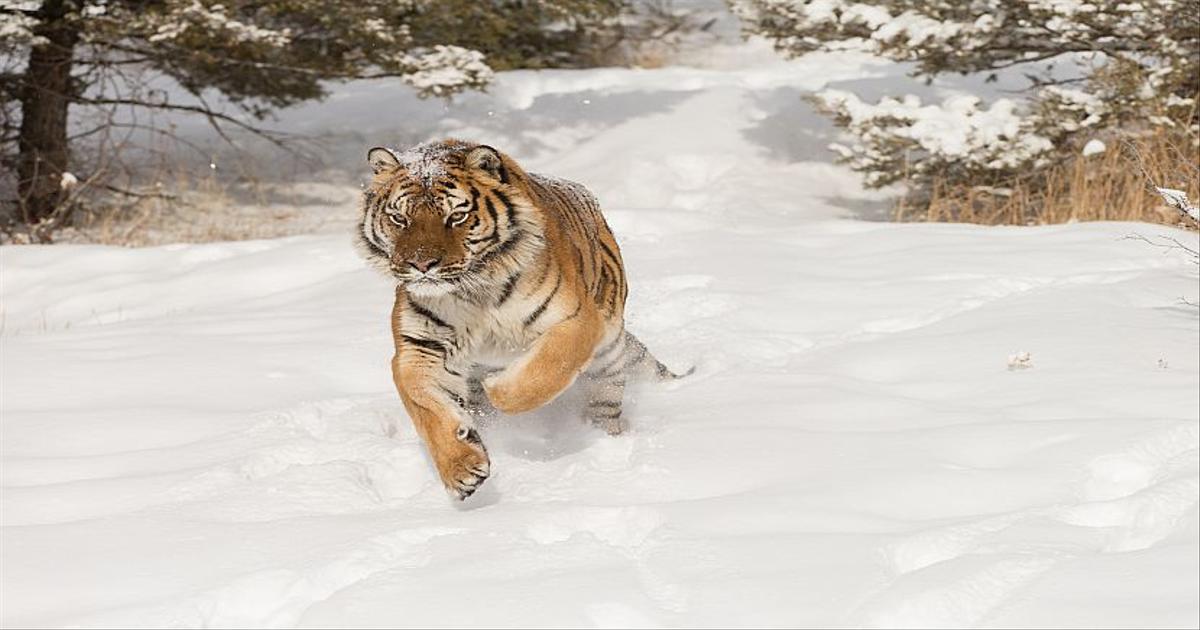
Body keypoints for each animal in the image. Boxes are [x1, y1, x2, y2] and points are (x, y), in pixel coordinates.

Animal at [355, 139, 688, 500]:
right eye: (399, 218)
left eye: (456, 216)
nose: (421, 265)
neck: (473, 290)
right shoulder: (419, 347)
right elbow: (426, 408)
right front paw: (461, 467)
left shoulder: (577, 320)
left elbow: (544, 371)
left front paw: (498, 386)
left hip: (608, 354)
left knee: (605, 403)